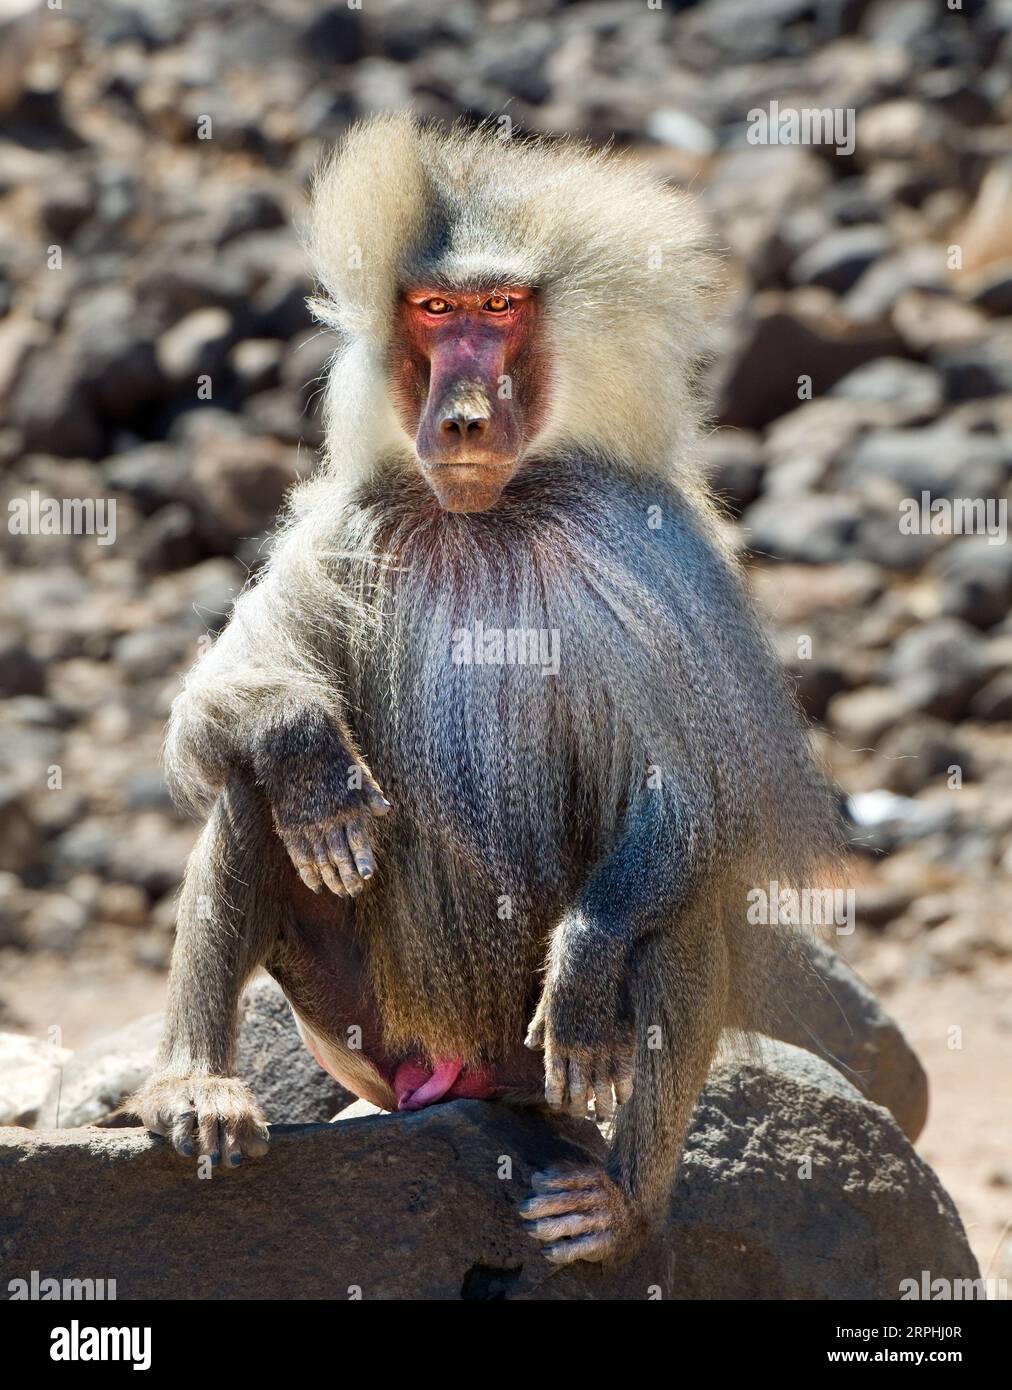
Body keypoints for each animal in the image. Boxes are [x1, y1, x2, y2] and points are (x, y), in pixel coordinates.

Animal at [128, 116, 841, 1266]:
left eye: (500, 310)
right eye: (434, 311)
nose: (460, 420)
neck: (487, 516)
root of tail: (447, 1075)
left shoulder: (650, 550)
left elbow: (701, 798)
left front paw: (586, 968)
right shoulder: (348, 523)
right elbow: (215, 718)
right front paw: (312, 763)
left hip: (527, 1072)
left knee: (679, 901)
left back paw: (617, 1204)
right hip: (360, 1027)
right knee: (246, 794)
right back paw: (200, 1087)